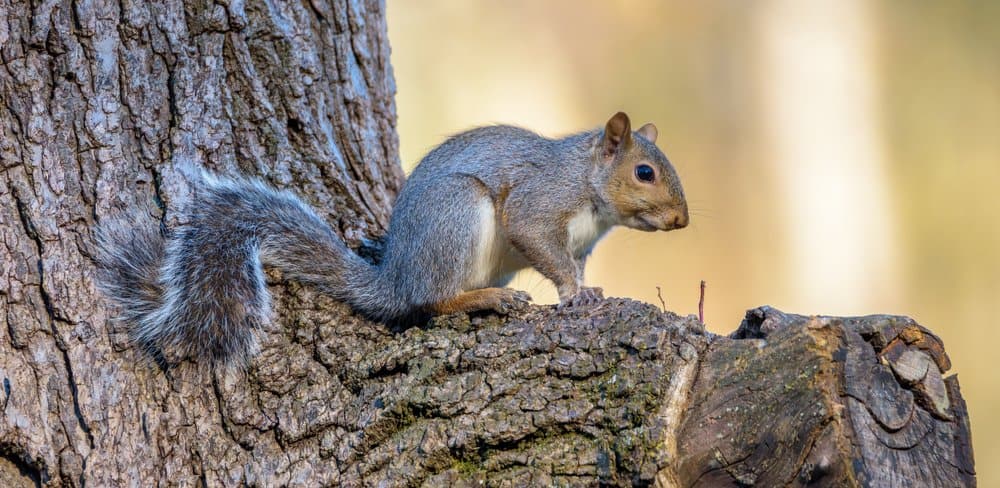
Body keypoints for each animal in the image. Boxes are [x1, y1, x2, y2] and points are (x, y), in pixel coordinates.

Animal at [95, 112, 688, 365]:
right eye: (644, 173)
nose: (682, 221)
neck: (588, 184)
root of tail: (396, 278)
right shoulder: (539, 202)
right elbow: (540, 242)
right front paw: (576, 295)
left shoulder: (581, 242)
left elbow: (574, 266)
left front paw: (584, 291)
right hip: (457, 215)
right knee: (429, 301)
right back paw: (484, 298)